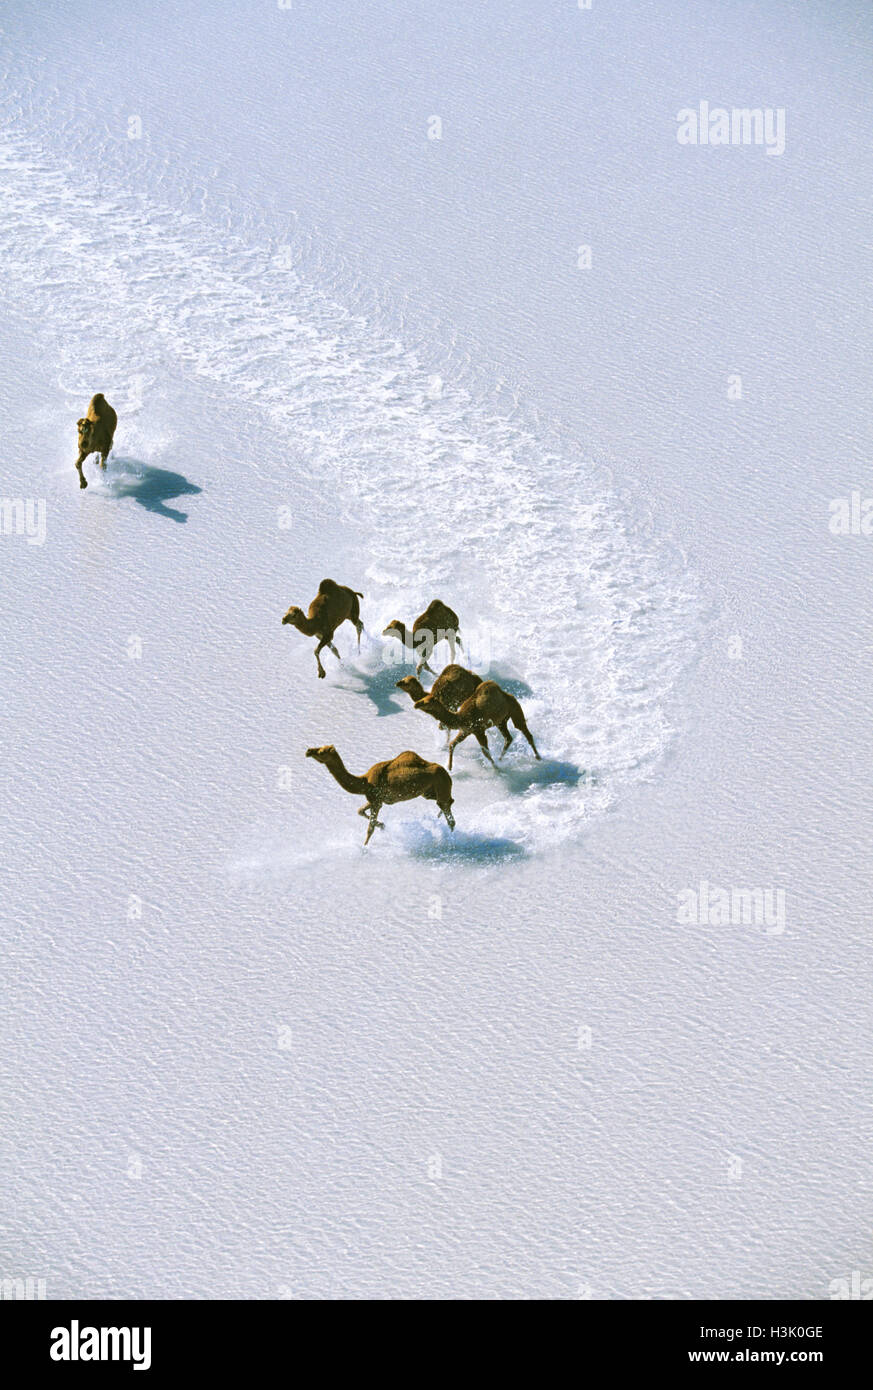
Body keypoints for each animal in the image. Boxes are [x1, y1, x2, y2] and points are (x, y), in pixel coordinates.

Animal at [305, 745, 455, 845]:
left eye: (321, 751)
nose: (308, 751)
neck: (364, 782)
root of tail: (446, 773)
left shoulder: (376, 801)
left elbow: (370, 829)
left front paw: (364, 848)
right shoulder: (374, 799)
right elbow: (360, 811)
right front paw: (383, 825)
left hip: (440, 784)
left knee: (447, 811)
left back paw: (450, 837)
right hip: (428, 792)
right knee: (448, 802)